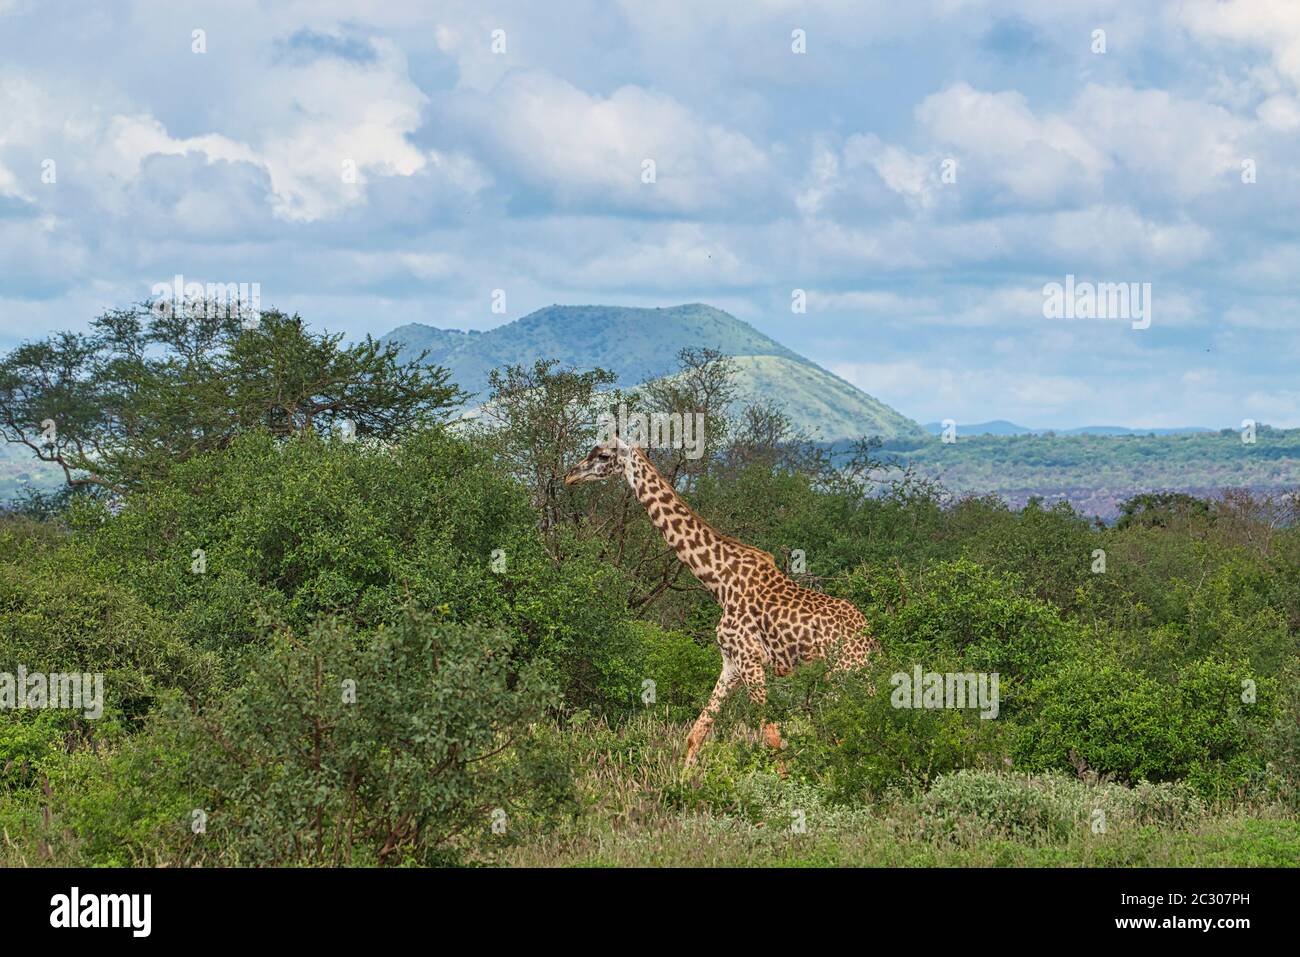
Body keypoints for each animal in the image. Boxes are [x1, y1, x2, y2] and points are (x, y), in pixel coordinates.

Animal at [564, 436, 877, 766]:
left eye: (603, 455)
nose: (570, 475)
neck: (719, 580)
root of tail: (869, 638)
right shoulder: (731, 664)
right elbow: (696, 733)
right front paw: (683, 778)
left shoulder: (750, 658)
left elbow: (772, 738)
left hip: (846, 672)